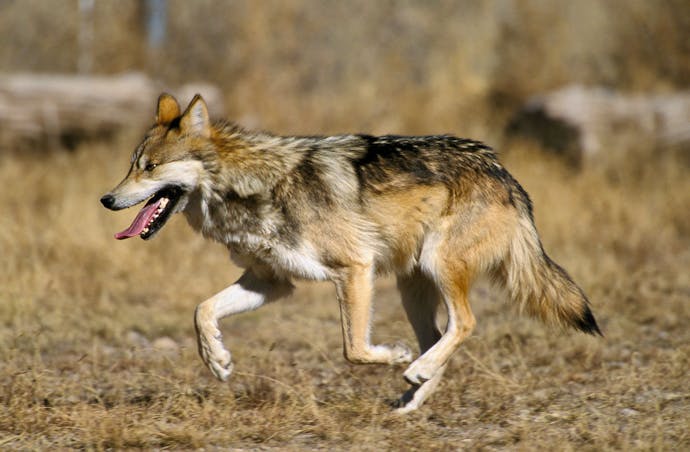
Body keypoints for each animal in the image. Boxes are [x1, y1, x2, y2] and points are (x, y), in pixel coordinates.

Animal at [101, 93, 601, 413]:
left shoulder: (354, 269)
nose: (106, 199)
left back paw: (413, 369)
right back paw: (411, 397)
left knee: (464, 324)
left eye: (150, 167)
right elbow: (202, 311)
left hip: (436, 267)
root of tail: (503, 172)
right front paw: (218, 361)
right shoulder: (271, 282)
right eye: (131, 166)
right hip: (412, 287)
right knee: (439, 337)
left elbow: (354, 349)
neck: (251, 186)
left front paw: (393, 356)